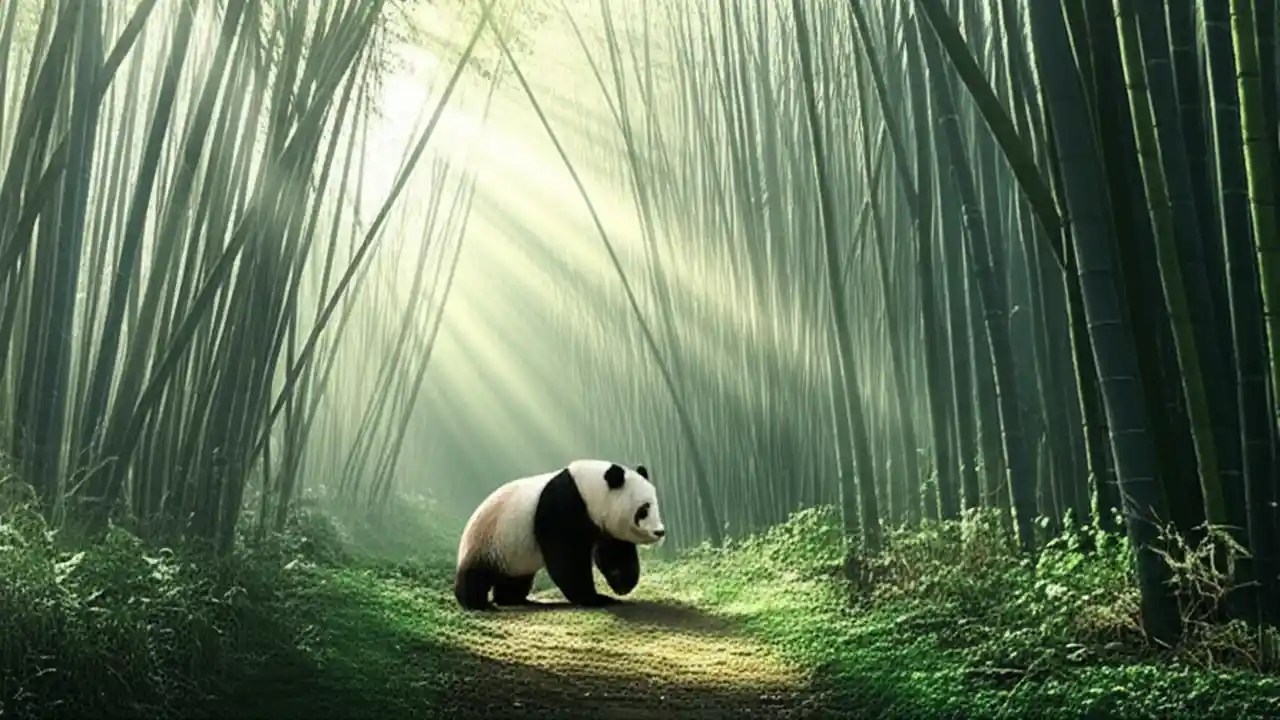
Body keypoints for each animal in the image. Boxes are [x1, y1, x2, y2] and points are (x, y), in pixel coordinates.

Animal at [454, 459, 665, 610]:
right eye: (643, 510)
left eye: (655, 505)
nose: (660, 531)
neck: (588, 489)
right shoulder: (562, 506)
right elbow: (567, 559)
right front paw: (596, 598)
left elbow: (613, 551)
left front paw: (622, 584)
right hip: (489, 540)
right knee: (475, 575)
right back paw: (476, 603)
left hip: (513, 555)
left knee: (516, 580)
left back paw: (513, 599)